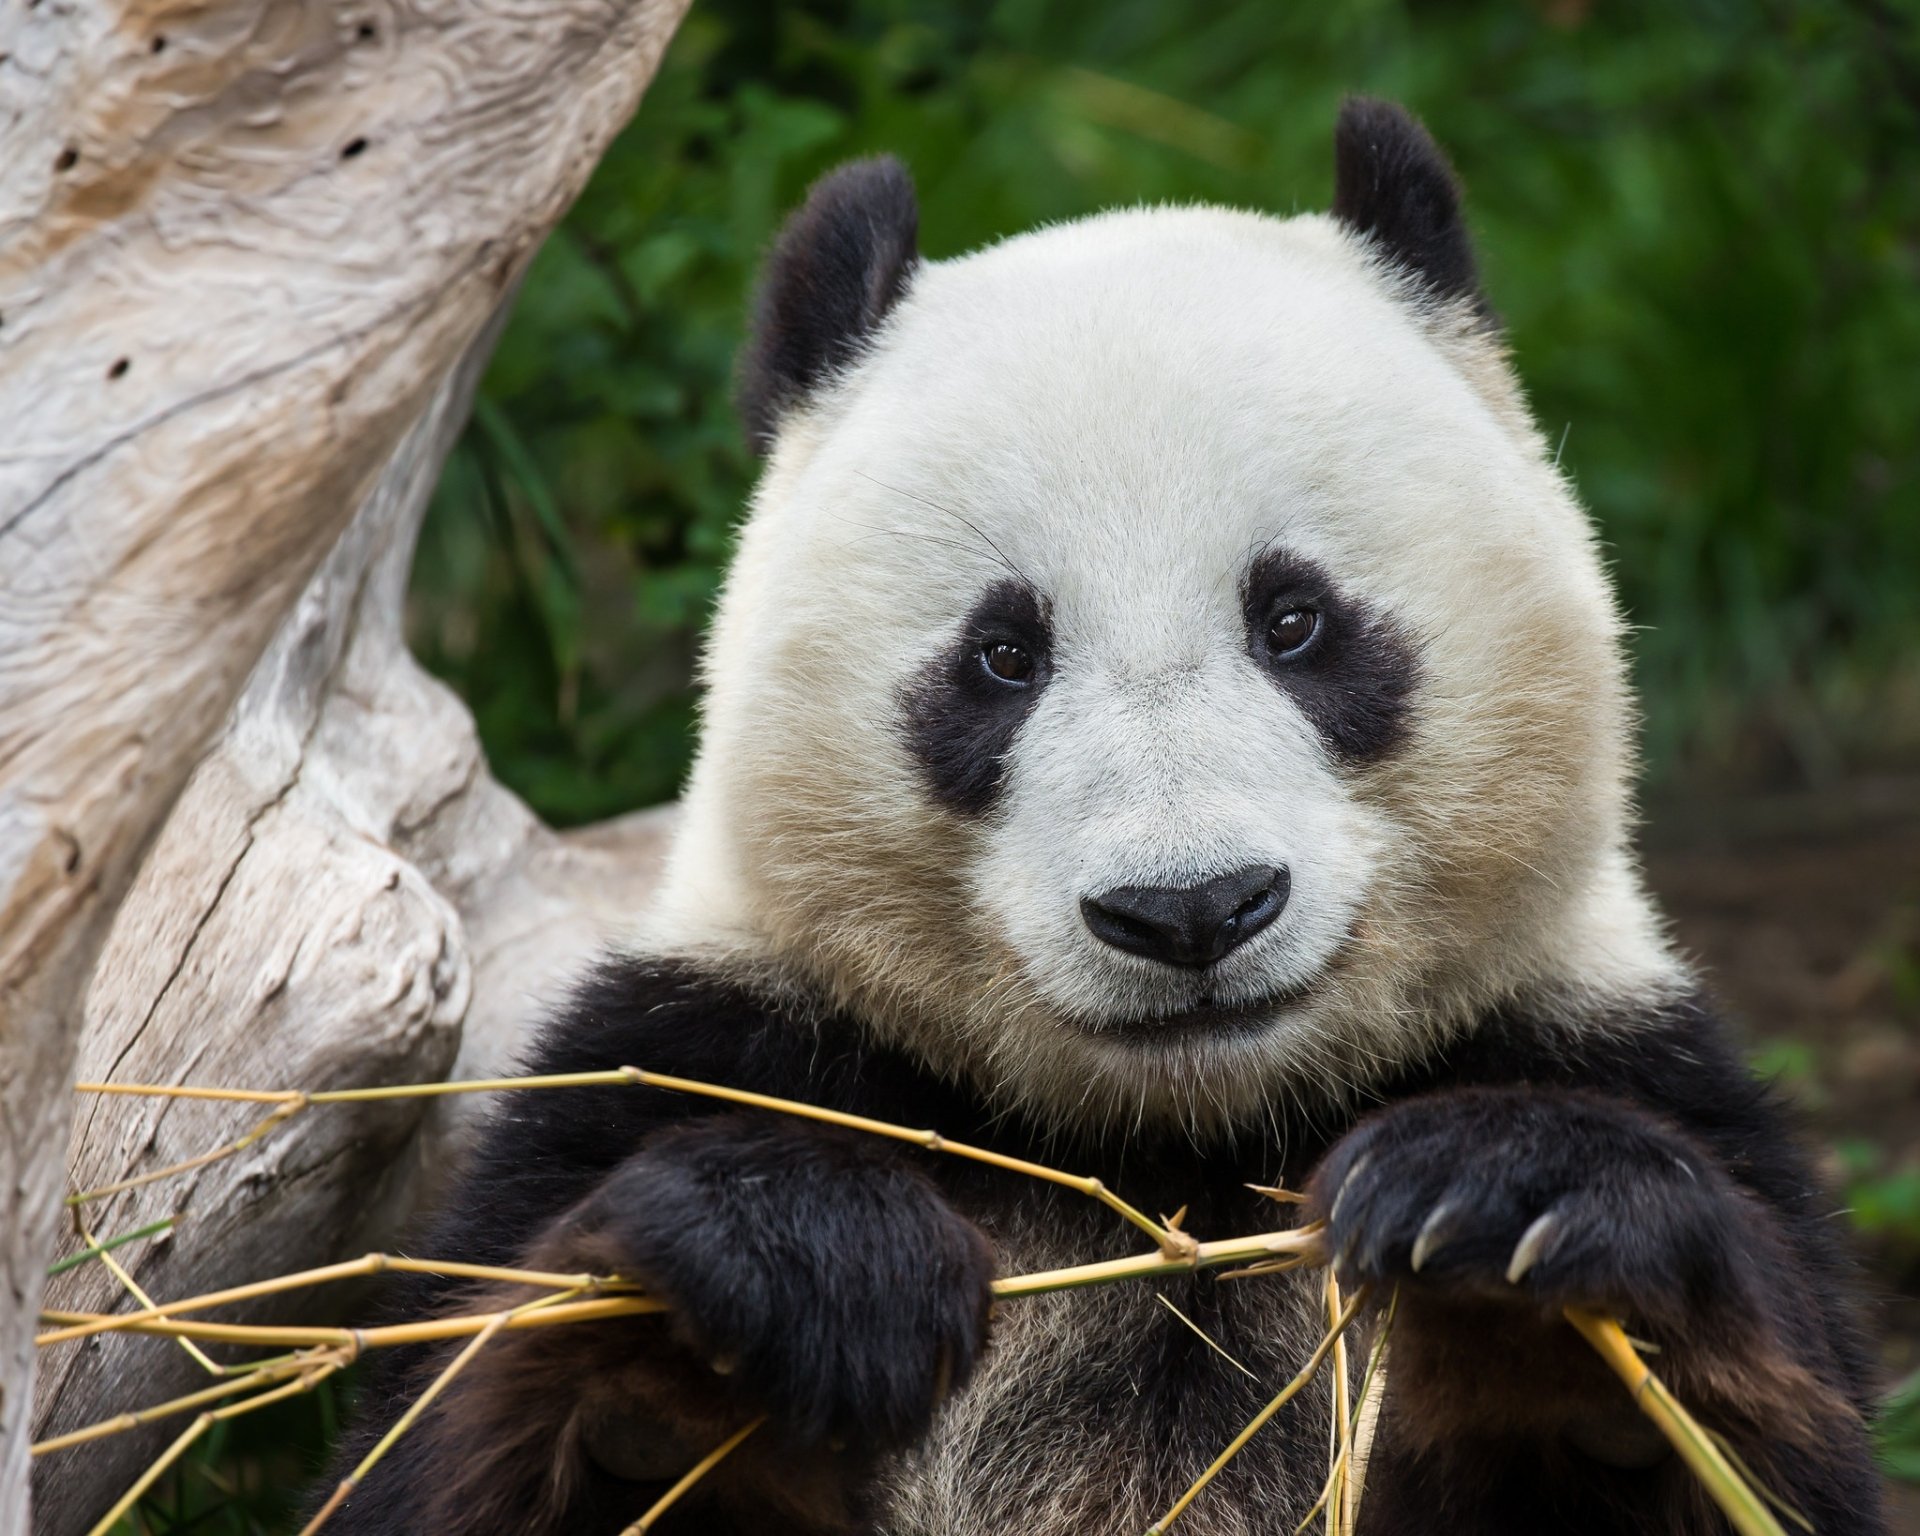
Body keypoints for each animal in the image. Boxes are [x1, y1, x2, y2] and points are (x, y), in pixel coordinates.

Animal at [324, 99, 1887, 1535]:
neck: (1176, 1151)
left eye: (1297, 621)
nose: (1190, 911)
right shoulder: (707, 1050)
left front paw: (1503, 1216)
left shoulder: (1607, 1048)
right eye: (1002, 657)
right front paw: (790, 1271)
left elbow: (1756, 1444)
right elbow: (451, 1439)